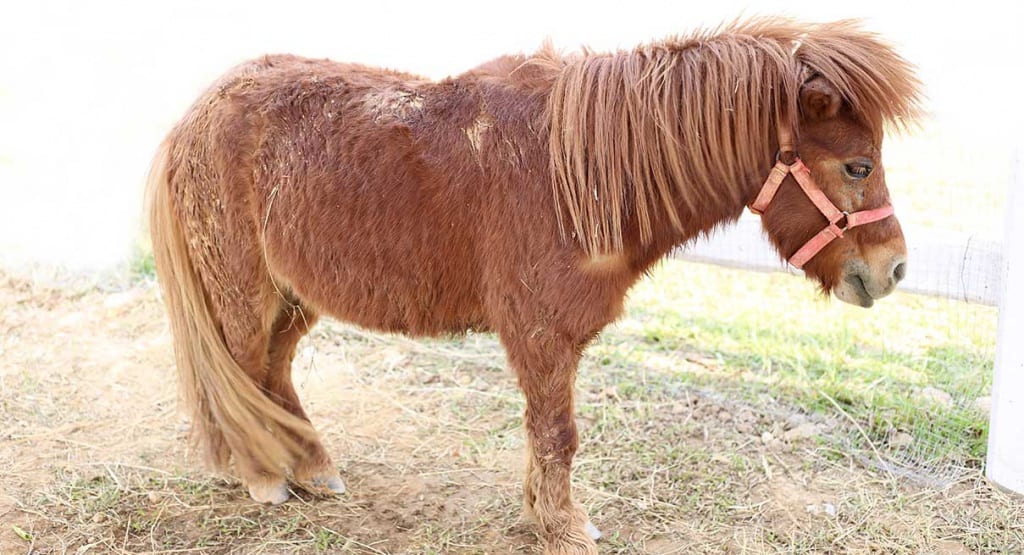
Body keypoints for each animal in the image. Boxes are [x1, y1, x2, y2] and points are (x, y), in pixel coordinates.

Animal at [146, 17, 921, 554]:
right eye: (857, 166)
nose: (894, 269)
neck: (572, 174)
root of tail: (195, 115)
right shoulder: (541, 335)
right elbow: (558, 434)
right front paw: (564, 525)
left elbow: (544, 435)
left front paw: (539, 513)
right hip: (244, 293)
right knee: (241, 370)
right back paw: (262, 475)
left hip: (296, 297)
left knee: (272, 373)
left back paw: (311, 467)